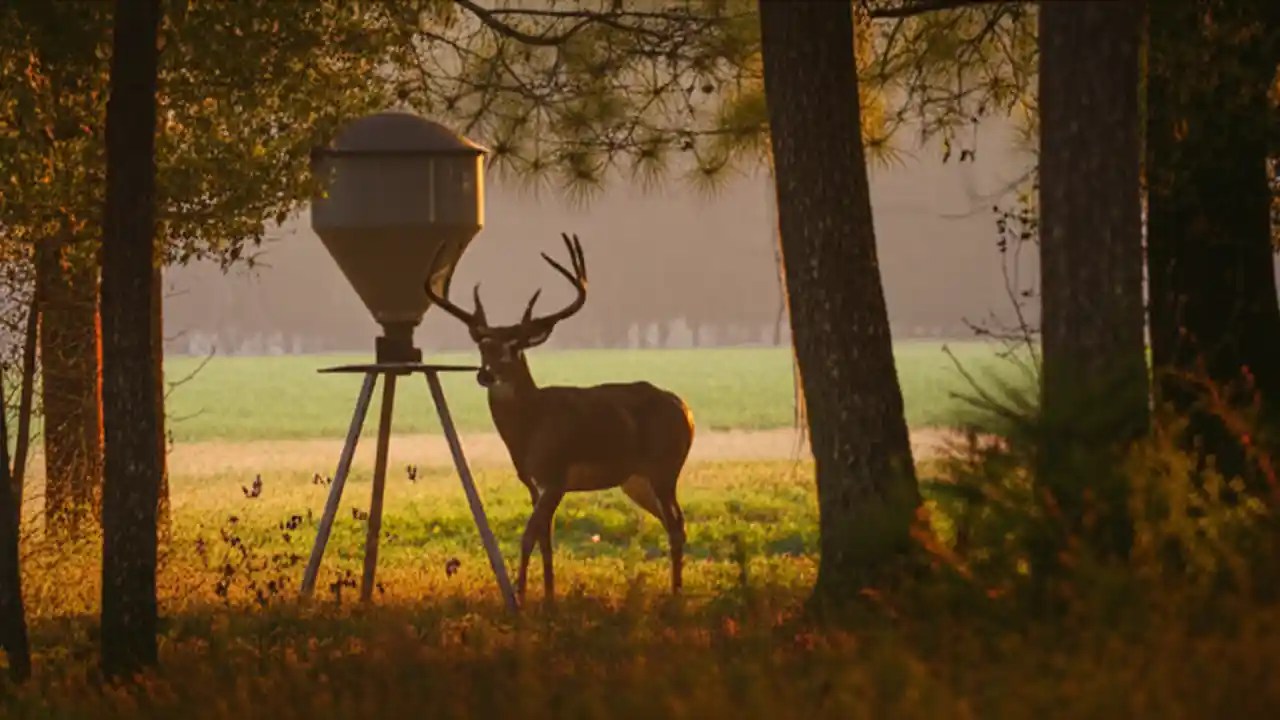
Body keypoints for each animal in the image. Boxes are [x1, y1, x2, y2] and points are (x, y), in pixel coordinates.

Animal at [424, 233, 694, 606]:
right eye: (483, 347)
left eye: (515, 347)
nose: (485, 374)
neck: (531, 426)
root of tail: (685, 410)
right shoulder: (533, 482)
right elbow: (544, 540)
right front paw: (548, 596)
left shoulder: (555, 476)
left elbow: (528, 536)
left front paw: (521, 596)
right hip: (636, 480)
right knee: (675, 523)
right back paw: (675, 589)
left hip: (664, 467)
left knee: (677, 523)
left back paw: (676, 593)